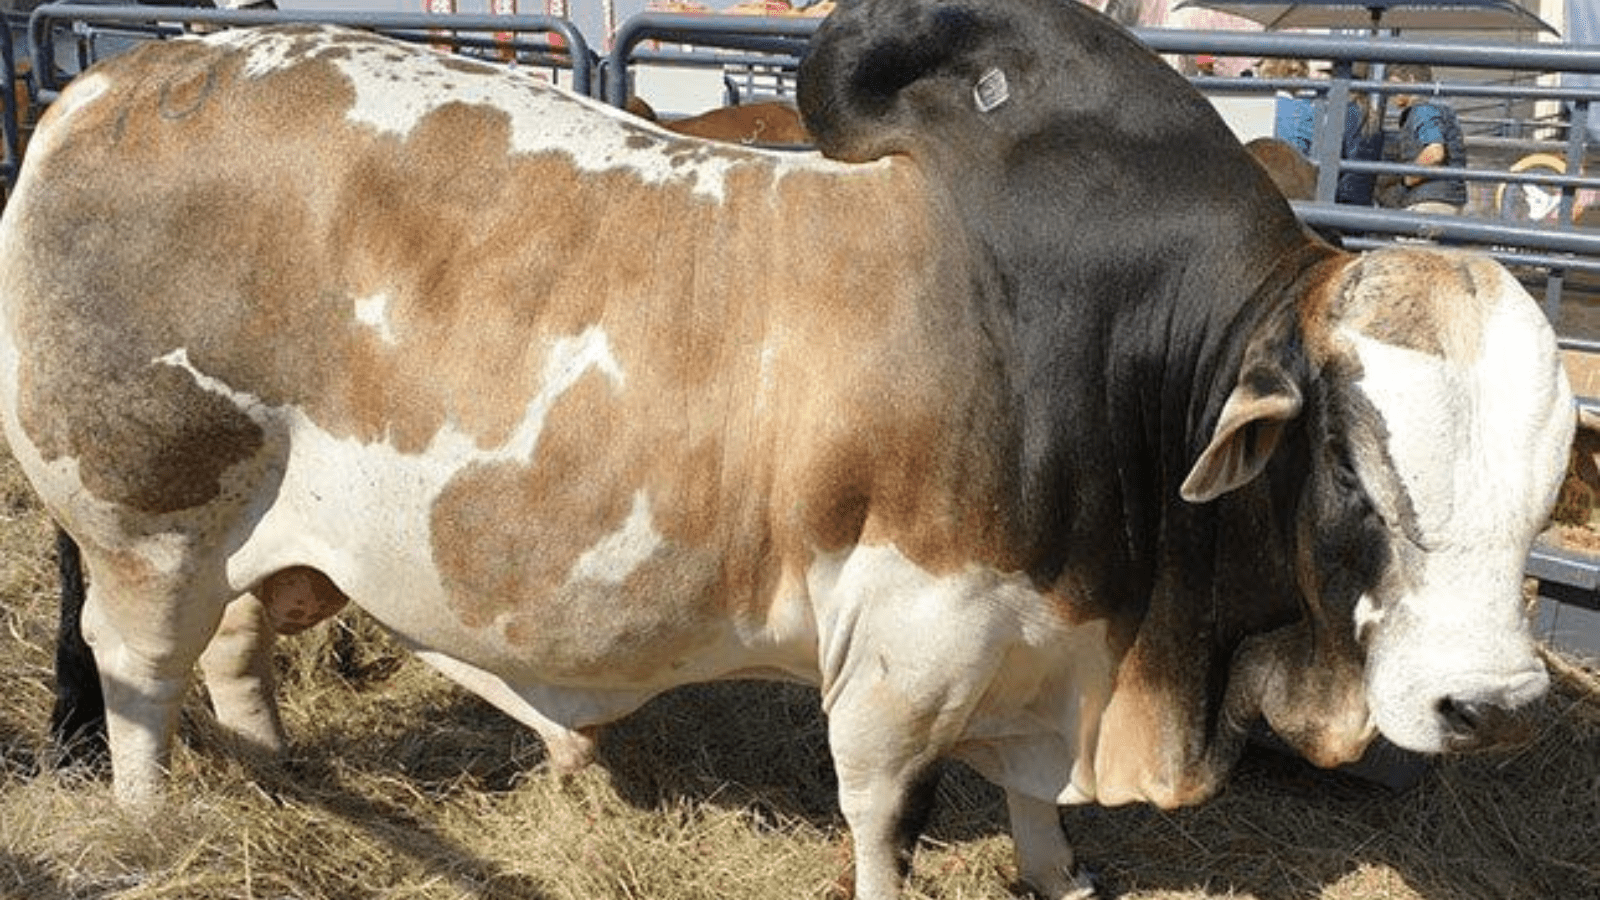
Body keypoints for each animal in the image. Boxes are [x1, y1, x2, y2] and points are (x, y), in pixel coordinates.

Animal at [0, 0, 1573, 898]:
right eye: (1353, 463)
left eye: (1548, 479)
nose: (1495, 705)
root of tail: (97, 93)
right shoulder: (907, 644)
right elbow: (883, 814)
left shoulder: (1044, 643)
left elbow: (1030, 800)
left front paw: (1059, 876)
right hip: (144, 527)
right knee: (140, 680)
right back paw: (152, 829)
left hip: (255, 537)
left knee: (231, 653)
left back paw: (284, 776)